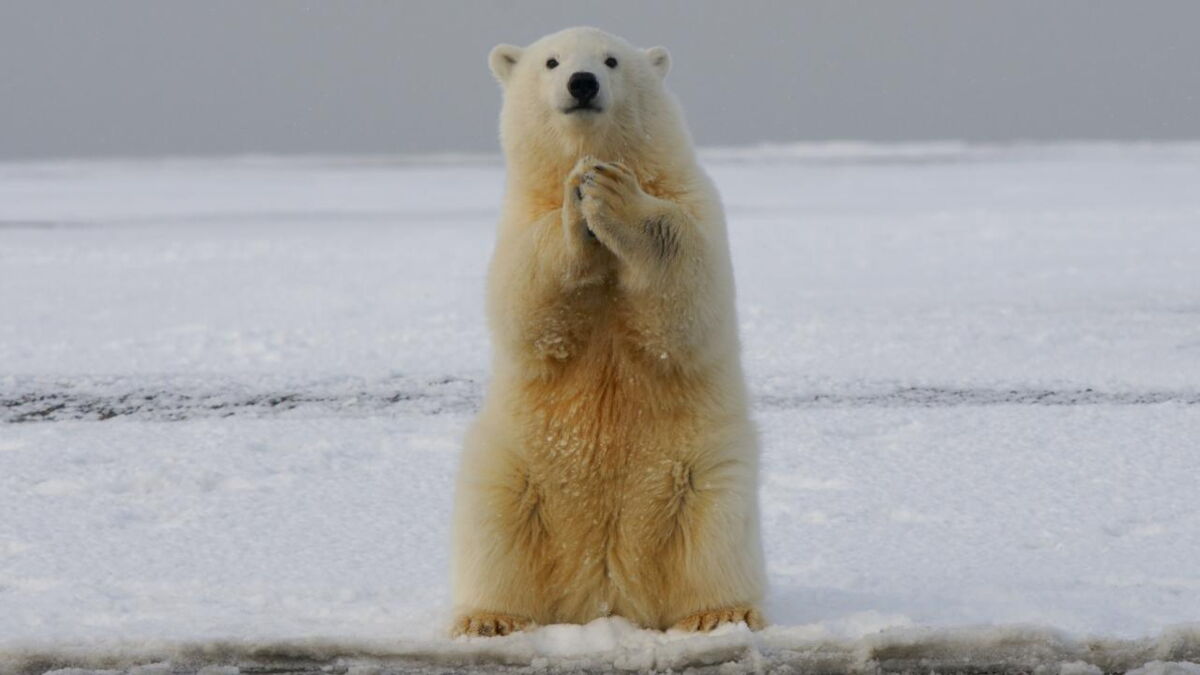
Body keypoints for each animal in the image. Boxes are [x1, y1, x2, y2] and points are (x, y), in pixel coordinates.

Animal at [451, 26, 765, 637]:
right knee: (495, 528)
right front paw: (578, 203)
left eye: (612, 60)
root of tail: (606, 594)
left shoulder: (693, 200)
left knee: (714, 534)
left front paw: (613, 195)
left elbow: (689, 295)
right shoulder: (518, 218)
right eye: (551, 61)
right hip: (515, 470)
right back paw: (490, 619)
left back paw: (719, 613)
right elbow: (526, 302)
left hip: (702, 471)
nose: (582, 82)